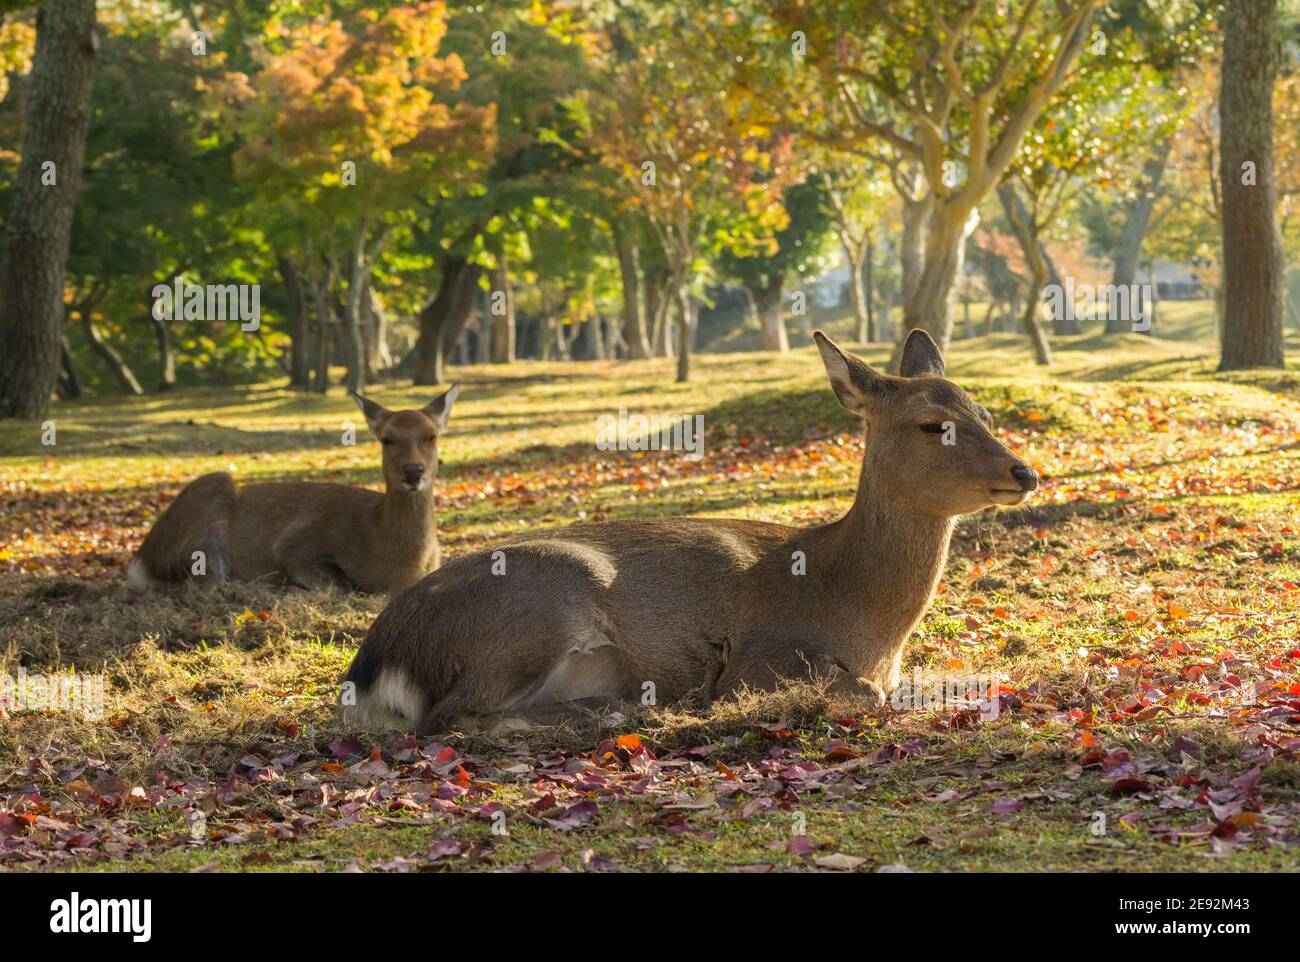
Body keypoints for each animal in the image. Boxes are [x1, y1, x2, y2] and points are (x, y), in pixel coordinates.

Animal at [127, 386, 459, 596]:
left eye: (431, 435)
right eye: (386, 439)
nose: (413, 471)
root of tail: (142, 557)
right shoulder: (296, 542)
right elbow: (340, 584)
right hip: (209, 499)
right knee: (206, 583)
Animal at [340, 330, 1038, 733]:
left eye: (984, 411)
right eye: (931, 424)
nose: (1025, 472)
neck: (862, 615)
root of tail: (373, 663)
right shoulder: (762, 657)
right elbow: (865, 694)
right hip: (541, 606)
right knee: (451, 717)